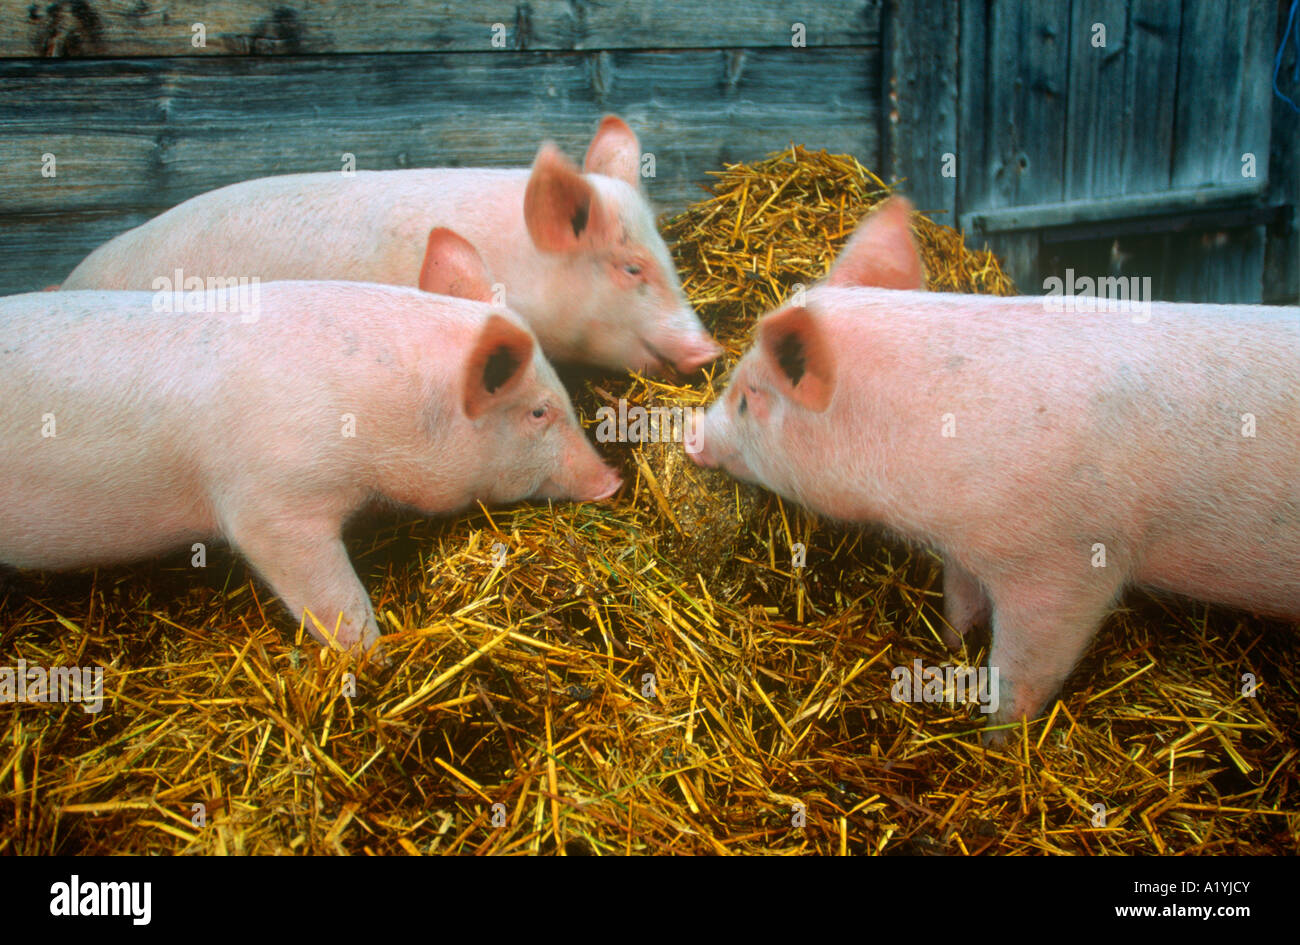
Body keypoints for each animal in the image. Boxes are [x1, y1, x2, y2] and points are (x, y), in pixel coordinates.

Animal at [690, 197, 1300, 742]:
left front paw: (997, 744)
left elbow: (1023, 675)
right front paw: (948, 647)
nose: (690, 434)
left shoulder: (1067, 564)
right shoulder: (965, 545)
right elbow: (959, 604)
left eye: (748, 399)